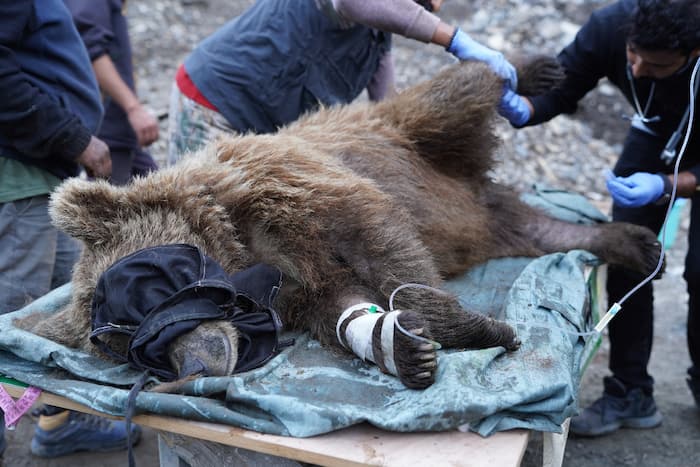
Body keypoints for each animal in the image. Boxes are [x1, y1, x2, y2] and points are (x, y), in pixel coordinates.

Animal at [19, 59, 661, 390]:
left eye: (147, 289)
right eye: (129, 350)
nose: (197, 366)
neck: (240, 250)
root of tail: (475, 189)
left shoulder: (287, 186)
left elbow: (373, 230)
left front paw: (464, 325)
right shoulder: (297, 287)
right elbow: (344, 304)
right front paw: (403, 349)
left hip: (402, 128)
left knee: (458, 91)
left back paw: (532, 71)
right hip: (489, 220)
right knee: (537, 230)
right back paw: (630, 241)